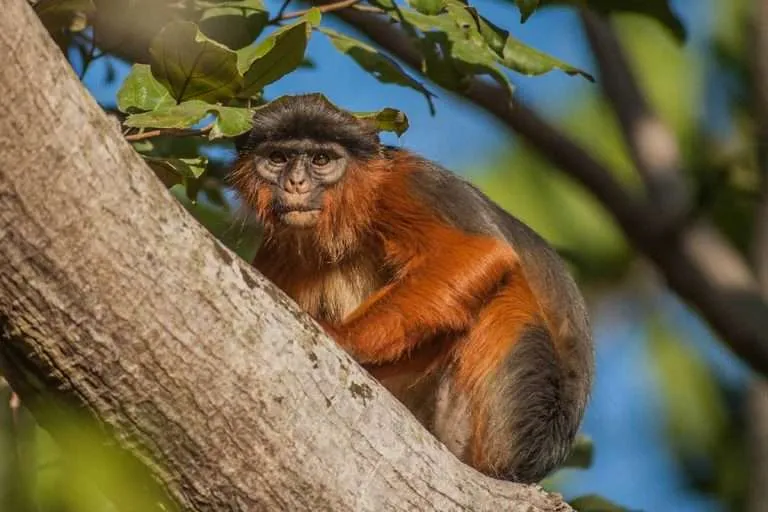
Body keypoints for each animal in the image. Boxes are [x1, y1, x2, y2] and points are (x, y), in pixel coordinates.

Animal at [228, 93, 594, 484]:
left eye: (321, 160)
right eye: (278, 159)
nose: (295, 183)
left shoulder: (414, 184)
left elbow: (481, 252)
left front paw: (338, 339)